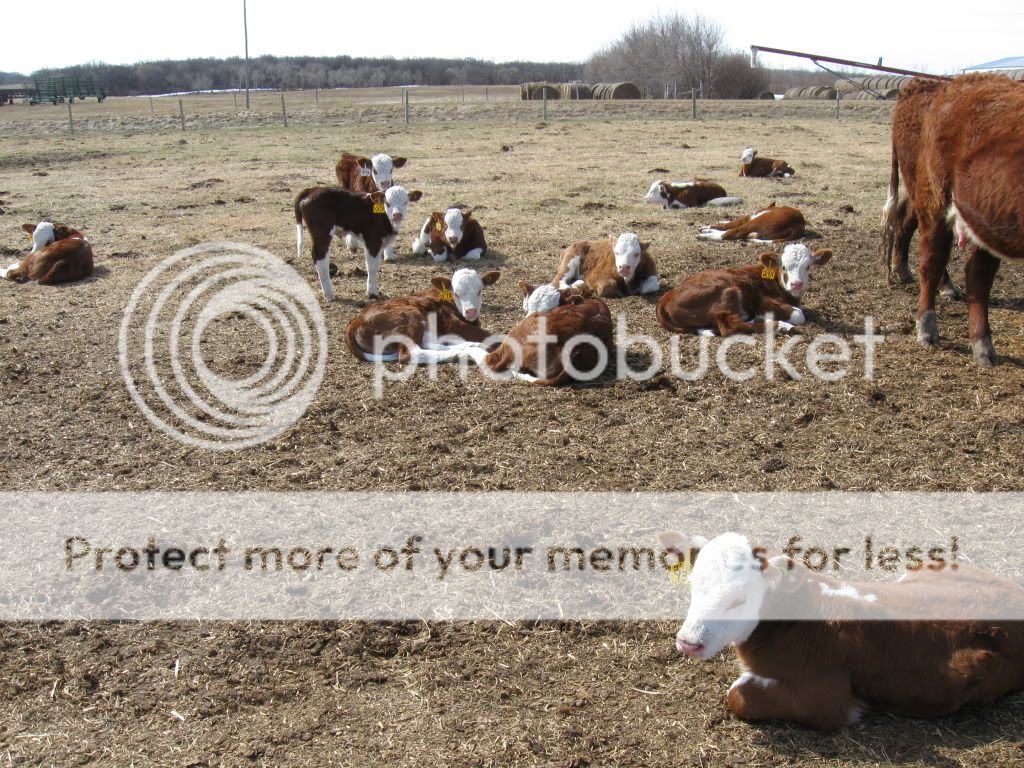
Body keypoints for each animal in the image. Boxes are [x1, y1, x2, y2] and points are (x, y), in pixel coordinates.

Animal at [345, 268, 499, 363]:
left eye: (480, 290)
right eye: (456, 293)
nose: (471, 311)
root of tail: (356, 321)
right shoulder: (453, 324)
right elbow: (491, 335)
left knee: (427, 344)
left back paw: (470, 346)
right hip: (409, 317)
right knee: (412, 353)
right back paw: (464, 353)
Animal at [655, 245, 832, 336]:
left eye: (808, 266)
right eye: (784, 267)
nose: (796, 284)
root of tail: (665, 298)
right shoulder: (762, 301)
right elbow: (799, 314)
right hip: (728, 292)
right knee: (729, 327)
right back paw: (781, 326)